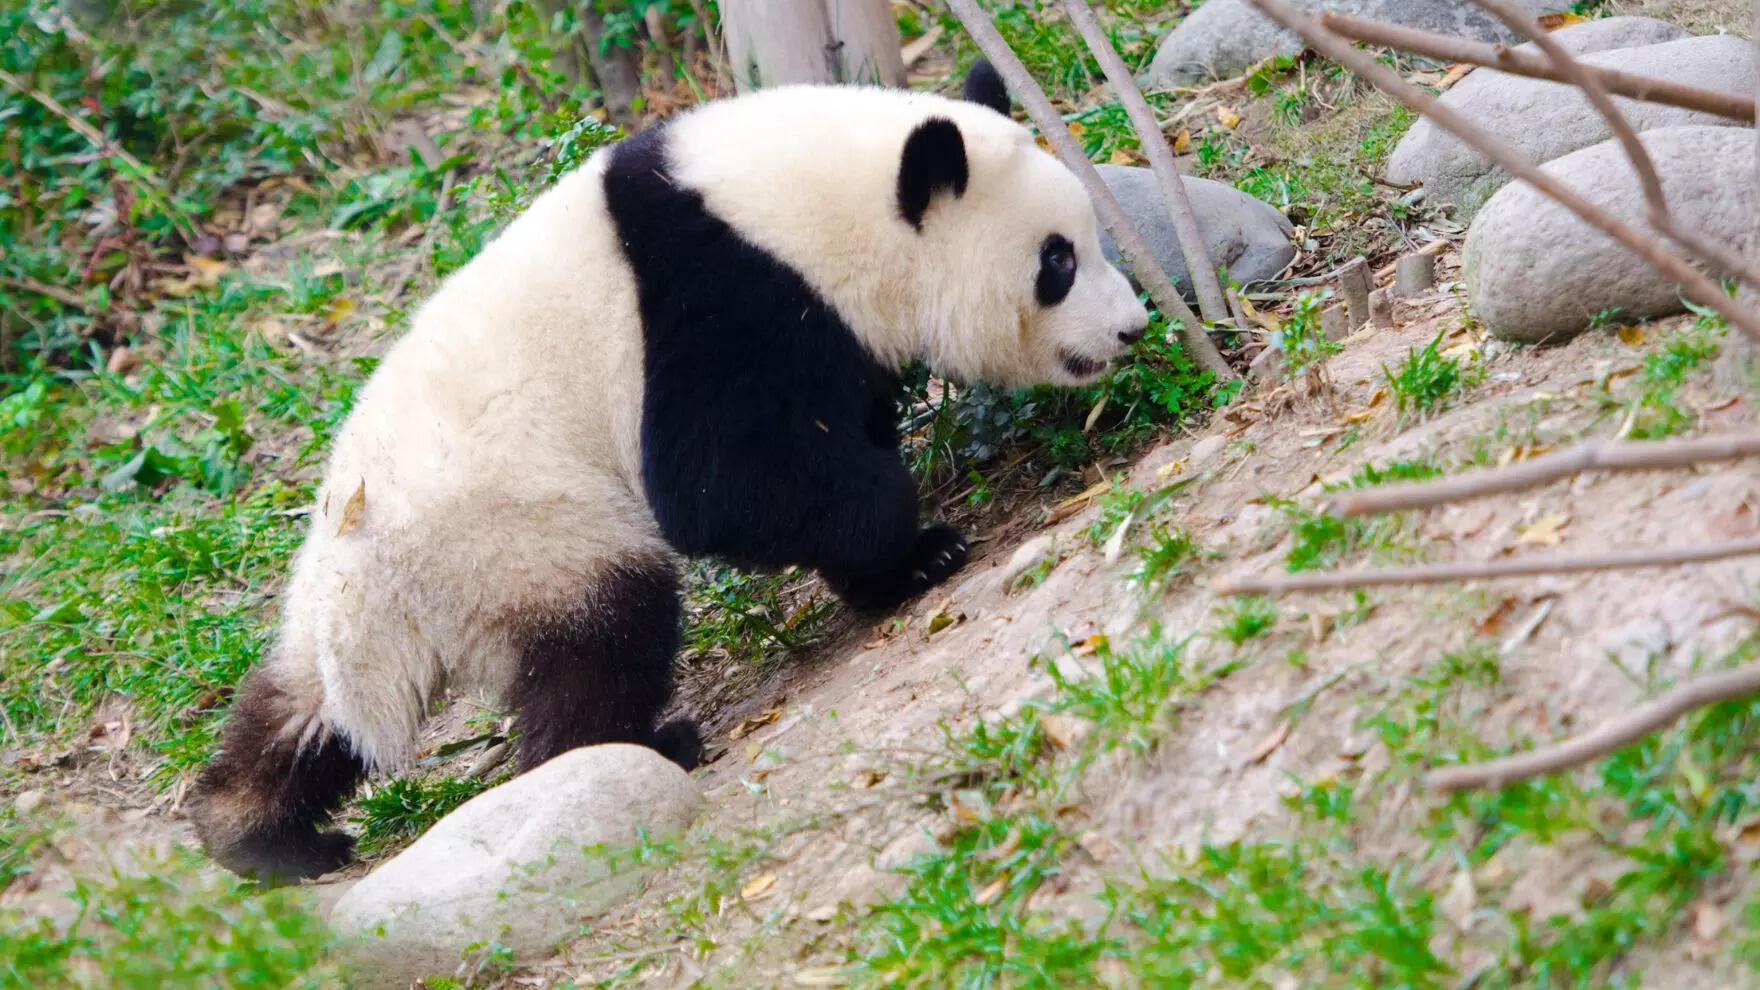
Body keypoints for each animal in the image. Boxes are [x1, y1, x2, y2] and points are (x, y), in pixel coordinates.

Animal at [187, 61, 1151, 883]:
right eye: (1058, 260)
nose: (1133, 329)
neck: (803, 200)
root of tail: (369, 564)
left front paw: (894, 568)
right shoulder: (723, 295)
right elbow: (721, 486)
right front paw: (917, 542)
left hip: (350, 608)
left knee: (299, 713)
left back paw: (257, 835)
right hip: (518, 526)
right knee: (604, 630)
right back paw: (636, 747)